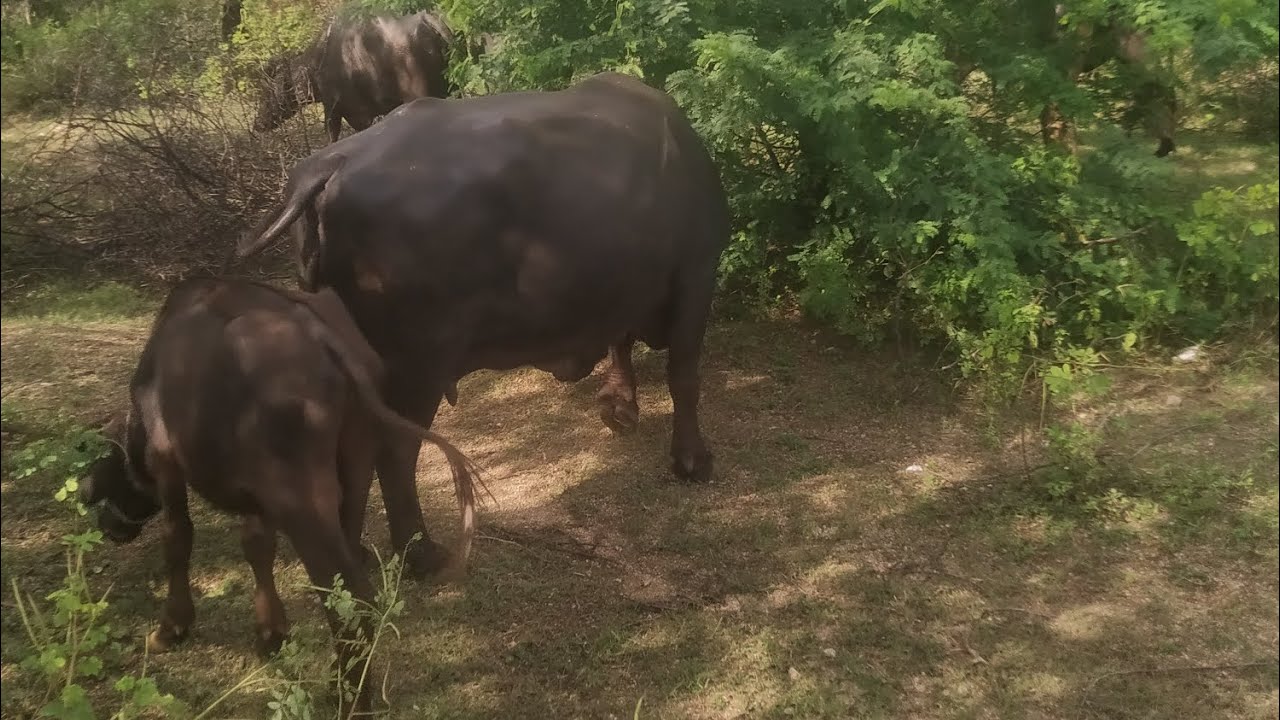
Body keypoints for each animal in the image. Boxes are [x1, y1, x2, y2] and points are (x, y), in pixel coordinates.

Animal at [80, 277, 478, 716]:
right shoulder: (259, 499)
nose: (107, 524)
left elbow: (178, 539)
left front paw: (172, 627)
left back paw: (351, 702)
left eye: (110, 468)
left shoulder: (165, 460)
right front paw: (272, 633)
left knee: (354, 595)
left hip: (300, 500)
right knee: (342, 584)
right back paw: (335, 683)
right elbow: (258, 547)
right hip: (354, 467)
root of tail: (325, 339)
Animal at [239, 72, 730, 578]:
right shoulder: (697, 272)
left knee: (352, 460)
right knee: (396, 451)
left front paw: (620, 405)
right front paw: (692, 459)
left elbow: (622, 339)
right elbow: (683, 376)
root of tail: (333, 162)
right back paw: (421, 552)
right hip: (416, 365)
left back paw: (358, 558)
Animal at [252, 10, 455, 142]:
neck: (315, 65)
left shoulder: (336, 109)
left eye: (267, 89)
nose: (257, 124)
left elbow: (332, 135)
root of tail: (426, 20)